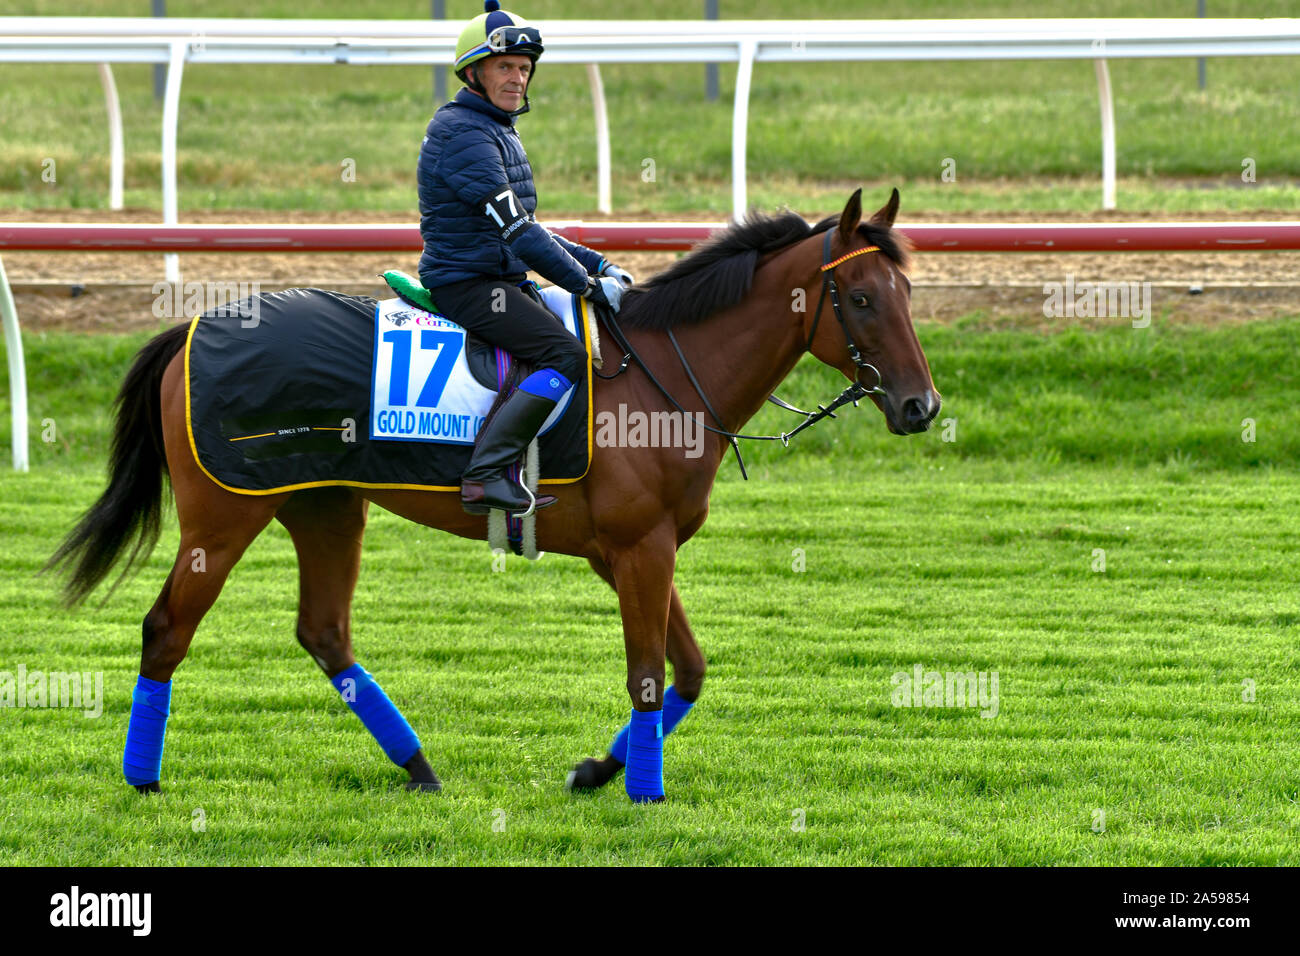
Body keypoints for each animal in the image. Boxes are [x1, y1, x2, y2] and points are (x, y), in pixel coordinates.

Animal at [48, 188, 940, 803]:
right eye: (861, 298)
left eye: (906, 295)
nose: (920, 407)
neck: (663, 373)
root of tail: (190, 329)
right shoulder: (638, 550)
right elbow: (649, 675)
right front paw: (645, 793)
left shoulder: (636, 553)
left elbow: (687, 672)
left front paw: (597, 771)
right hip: (225, 514)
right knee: (166, 630)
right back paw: (143, 778)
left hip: (325, 504)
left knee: (325, 633)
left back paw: (418, 765)